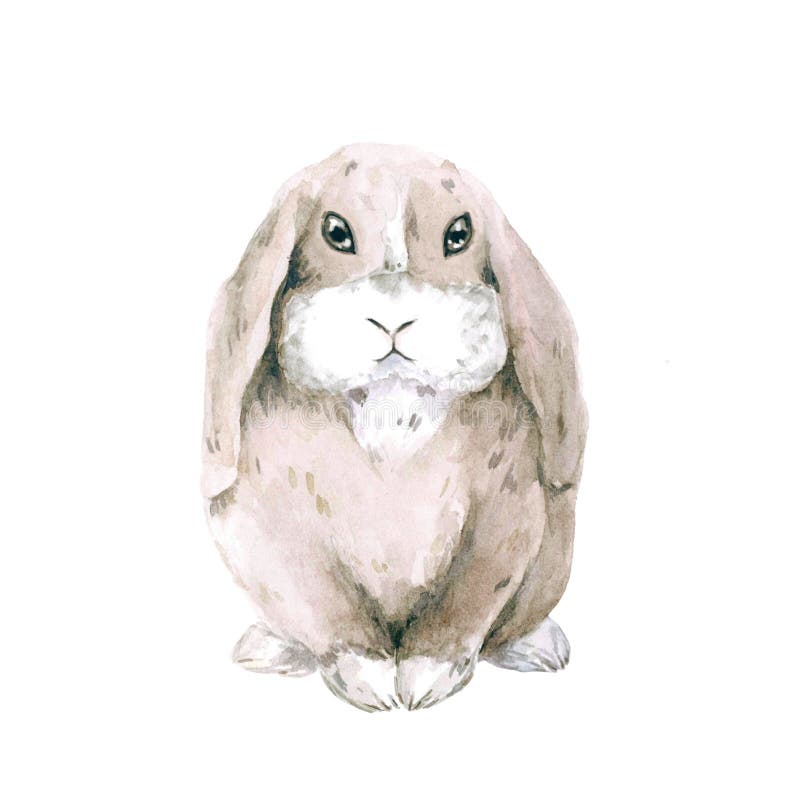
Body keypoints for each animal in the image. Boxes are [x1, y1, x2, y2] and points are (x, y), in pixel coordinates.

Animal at [202, 144, 587, 712]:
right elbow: (322, 601)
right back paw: (267, 649)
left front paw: (428, 673)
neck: (392, 409)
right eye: (335, 231)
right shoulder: (271, 525)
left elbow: (472, 597)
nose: (394, 319)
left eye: (460, 233)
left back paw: (540, 648)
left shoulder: (507, 519)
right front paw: (369, 677)